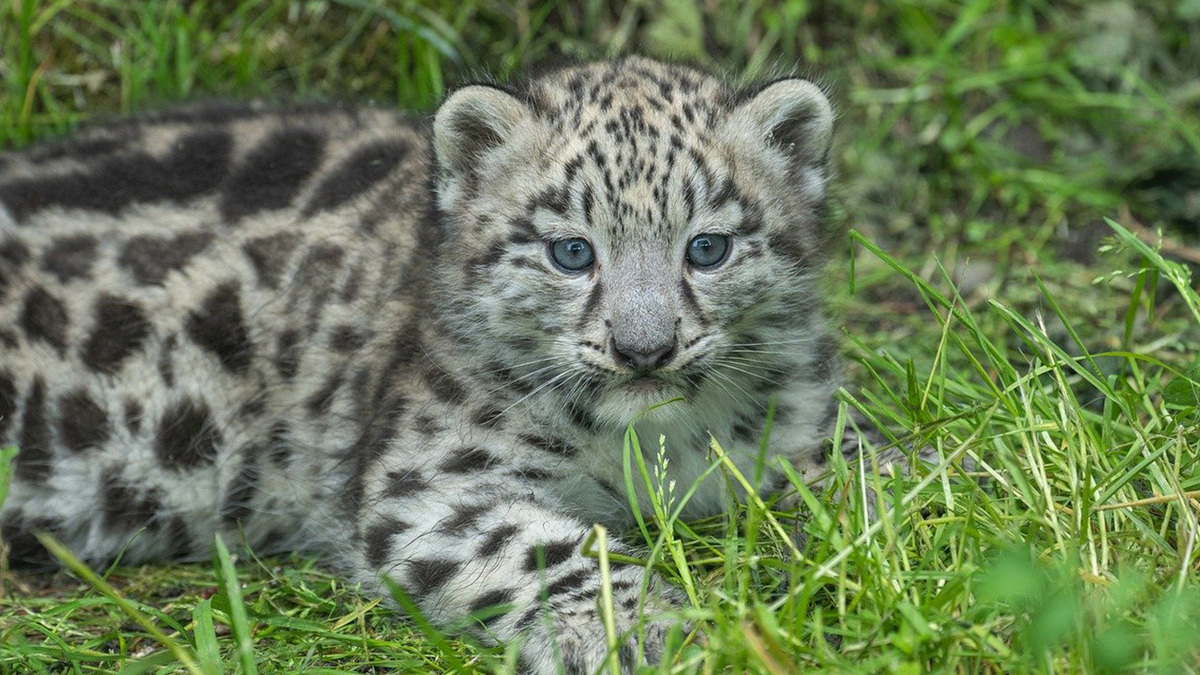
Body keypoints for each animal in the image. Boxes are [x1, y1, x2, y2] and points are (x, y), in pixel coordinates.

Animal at [0, 56, 869, 672]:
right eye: (572, 251)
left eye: (708, 248)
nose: (644, 348)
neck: (652, 445)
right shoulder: (434, 479)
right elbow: (548, 553)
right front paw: (653, 629)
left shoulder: (802, 422)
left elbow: (869, 471)